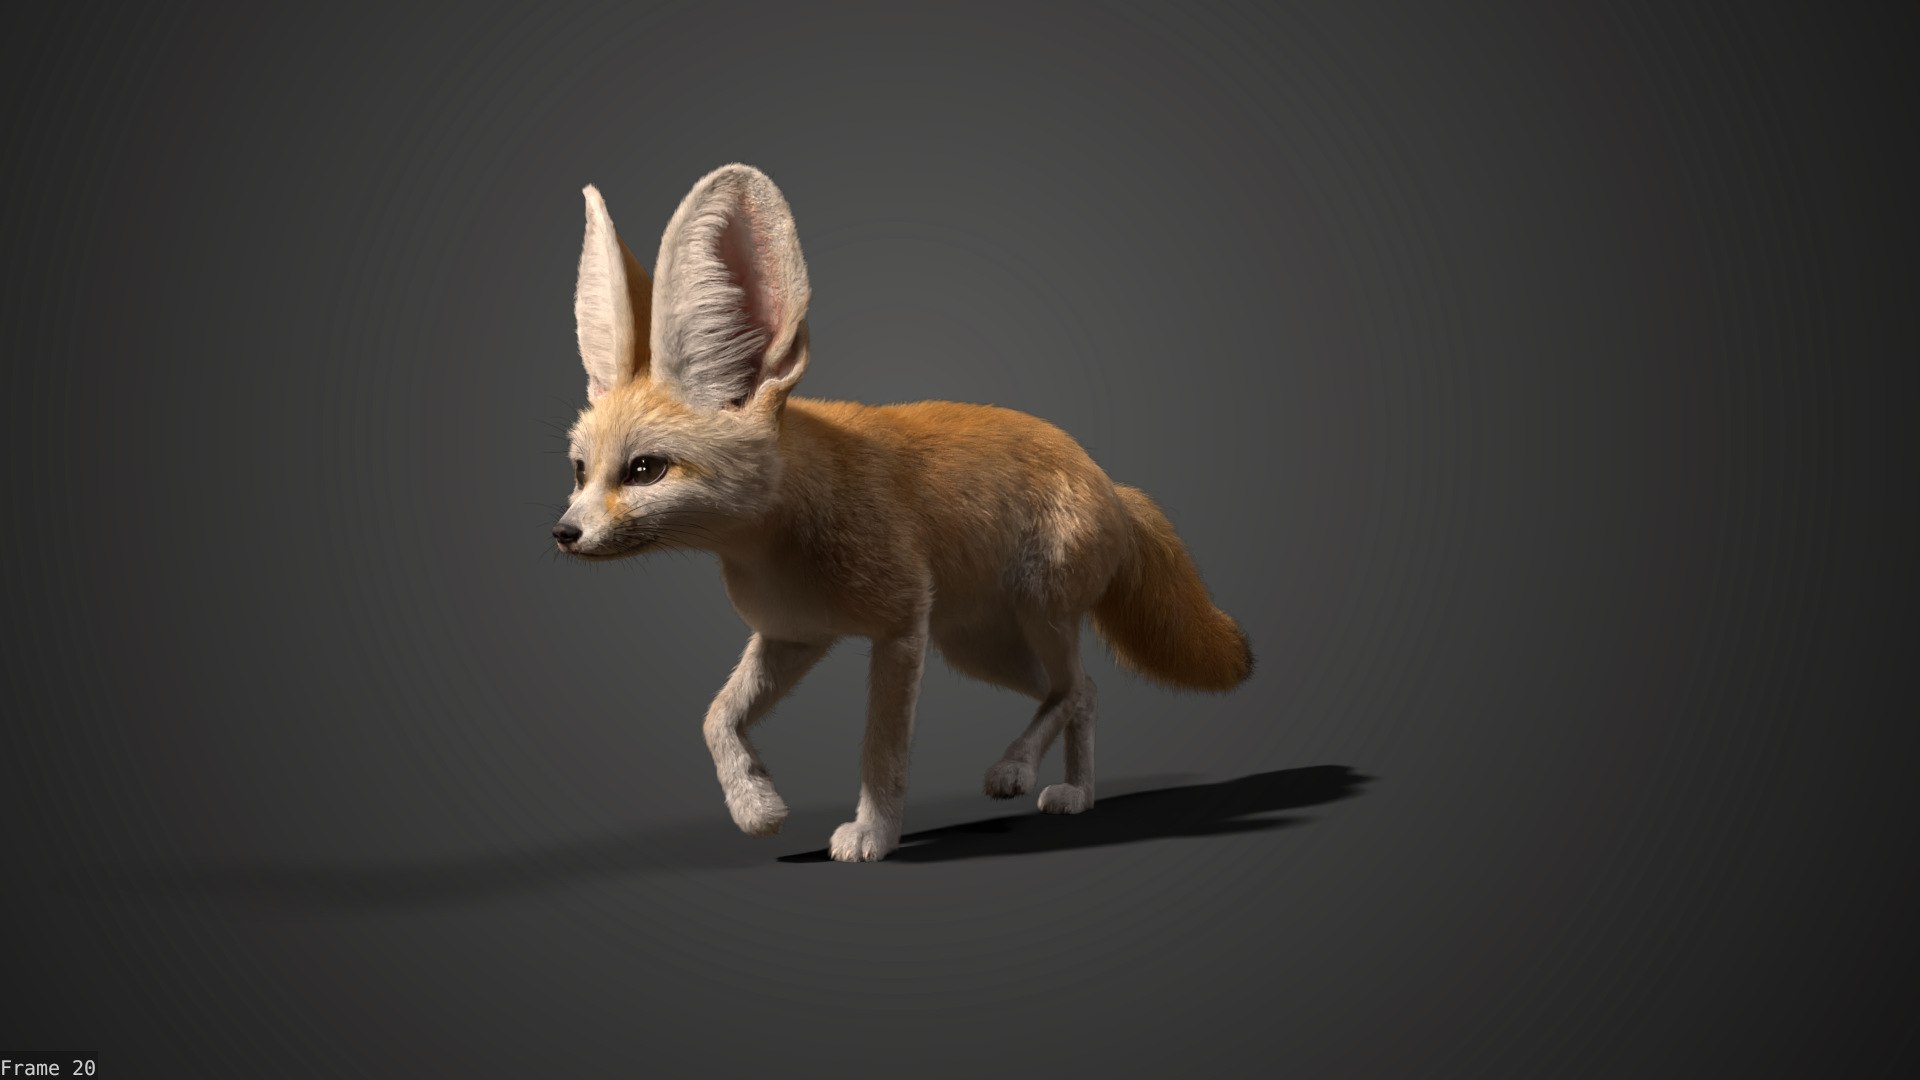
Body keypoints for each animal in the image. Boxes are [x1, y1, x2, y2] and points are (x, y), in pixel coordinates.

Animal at [552, 163, 1252, 862]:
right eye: (580, 471)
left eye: (645, 470)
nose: (562, 532)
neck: (782, 539)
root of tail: (1111, 482)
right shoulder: (794, 634)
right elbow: (715, 717)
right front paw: (756, 806)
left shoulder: (900, 630)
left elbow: (881, 753)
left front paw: (874, 833)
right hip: (975, 647)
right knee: (1082, 691)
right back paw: (1068, 787)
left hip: (1034, 617)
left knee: (1075, 688)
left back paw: (1031, 774)